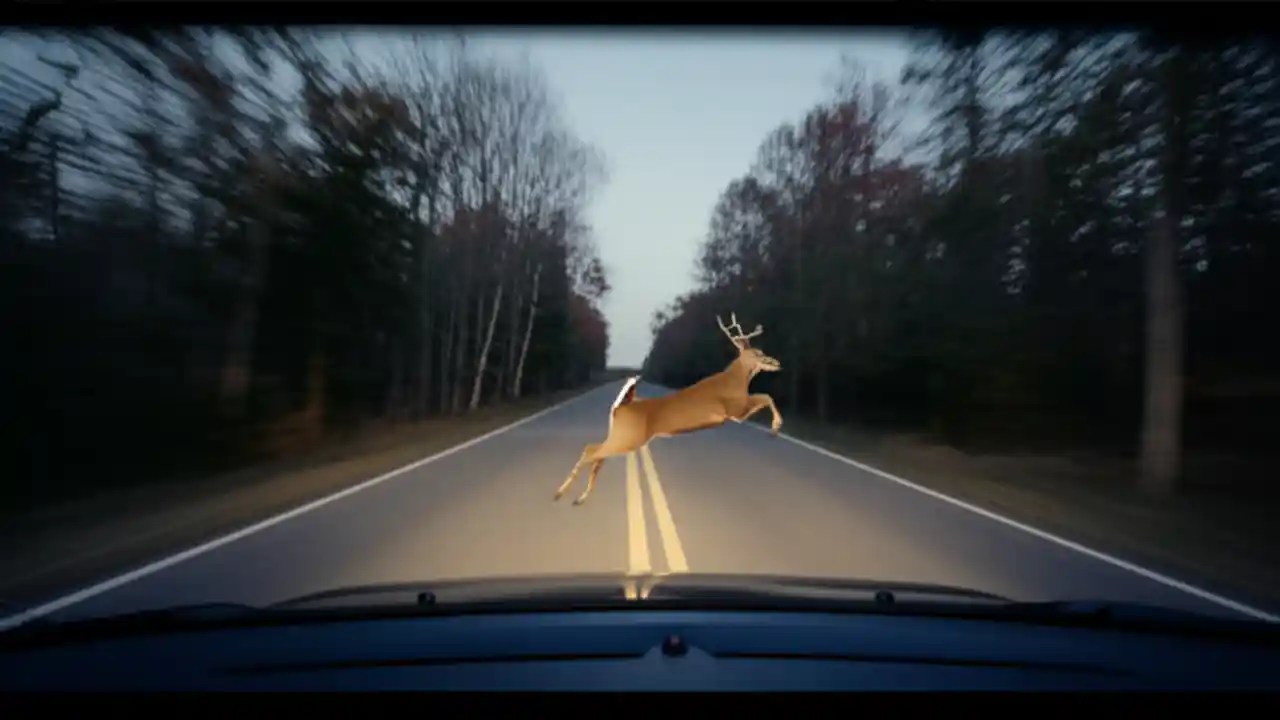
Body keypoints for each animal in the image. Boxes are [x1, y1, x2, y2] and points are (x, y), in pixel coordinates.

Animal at [554, 313, 783, 506]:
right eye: (758, 353)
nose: (776, 362)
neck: (737, 380)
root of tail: (620, 407)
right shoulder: (735, 409)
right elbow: (766, 396)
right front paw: (775, 427)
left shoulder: (737, 410)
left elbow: (766, 397)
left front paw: (775, 428)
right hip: (629, 437)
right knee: (592, 452)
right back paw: (559, 493)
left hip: (620, 436)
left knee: (595, 453)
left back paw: (579, 498)